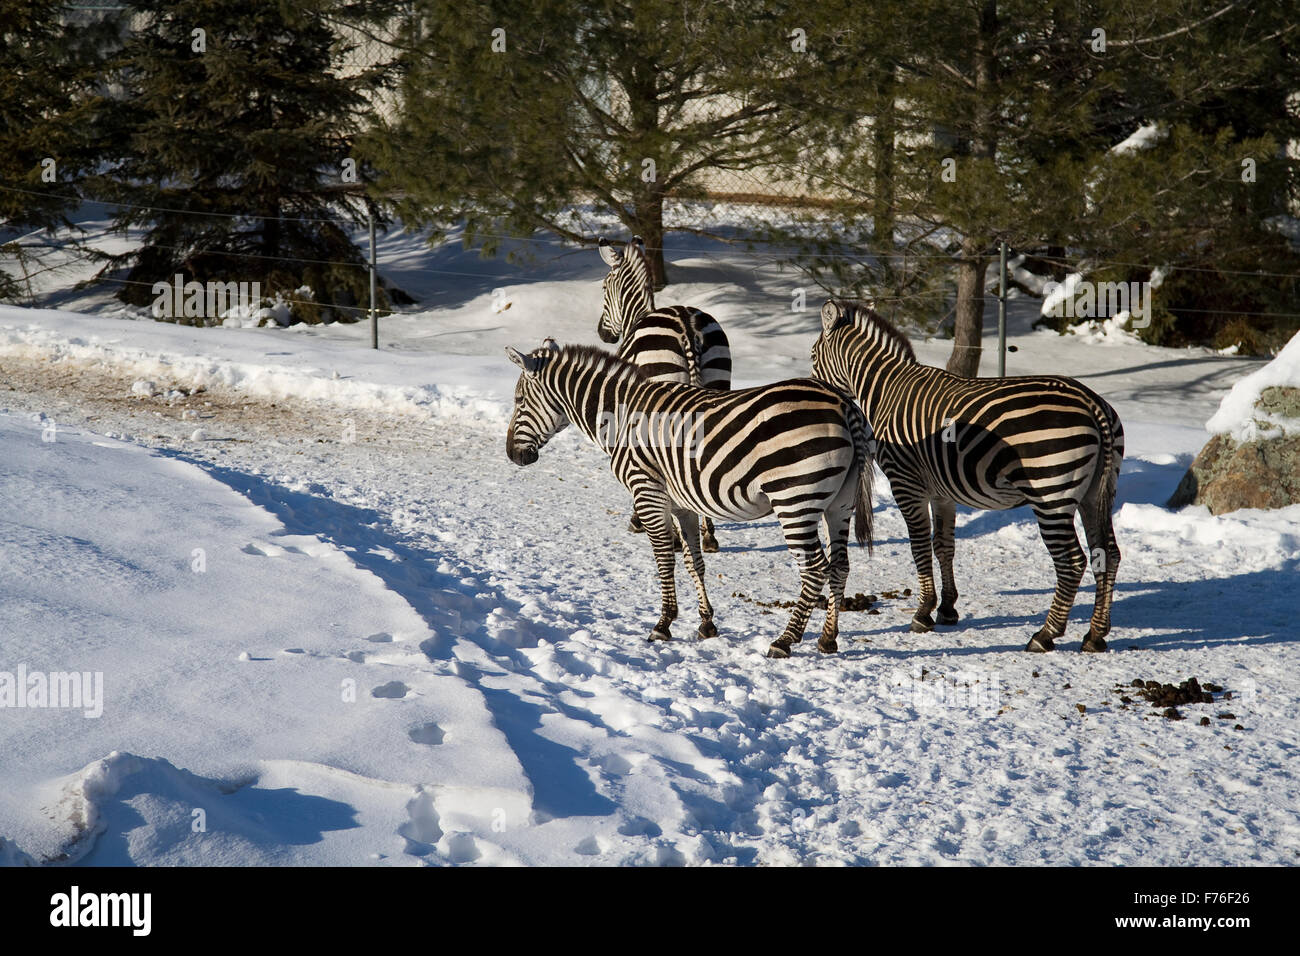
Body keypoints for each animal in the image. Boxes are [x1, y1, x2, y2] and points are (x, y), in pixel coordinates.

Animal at [505, 339, 875, 659]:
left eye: (519, 401)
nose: (512, 455)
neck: (621, 416)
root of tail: (843, 403)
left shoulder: (647, 492)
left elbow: (663, 559)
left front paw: (663, 623)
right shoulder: (682, 503)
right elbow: (692, 561)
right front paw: (706, 622)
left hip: (794, 500)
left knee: (814, 569)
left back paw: (785, 640)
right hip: (839, 503)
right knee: (840, 565)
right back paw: (827, 639)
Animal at [597, 235, 731, 551]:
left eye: (604, 288)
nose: (602, 334)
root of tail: (686, 324)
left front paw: (639, 520)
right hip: (716, 381)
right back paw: (708, 536)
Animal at [809, 300, 1123, 653]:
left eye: (812, 356)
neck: (886, 390)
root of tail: (1091, 402)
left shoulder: (906, 483)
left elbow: (919, 546)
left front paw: (923, 612)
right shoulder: (941, 492)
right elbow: (943, 545)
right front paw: (946, 609)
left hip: (1051, 494)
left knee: (1072, 561)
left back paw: (1045, 635)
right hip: (1097, 492)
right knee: (1107, 553)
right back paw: (1096, 634)